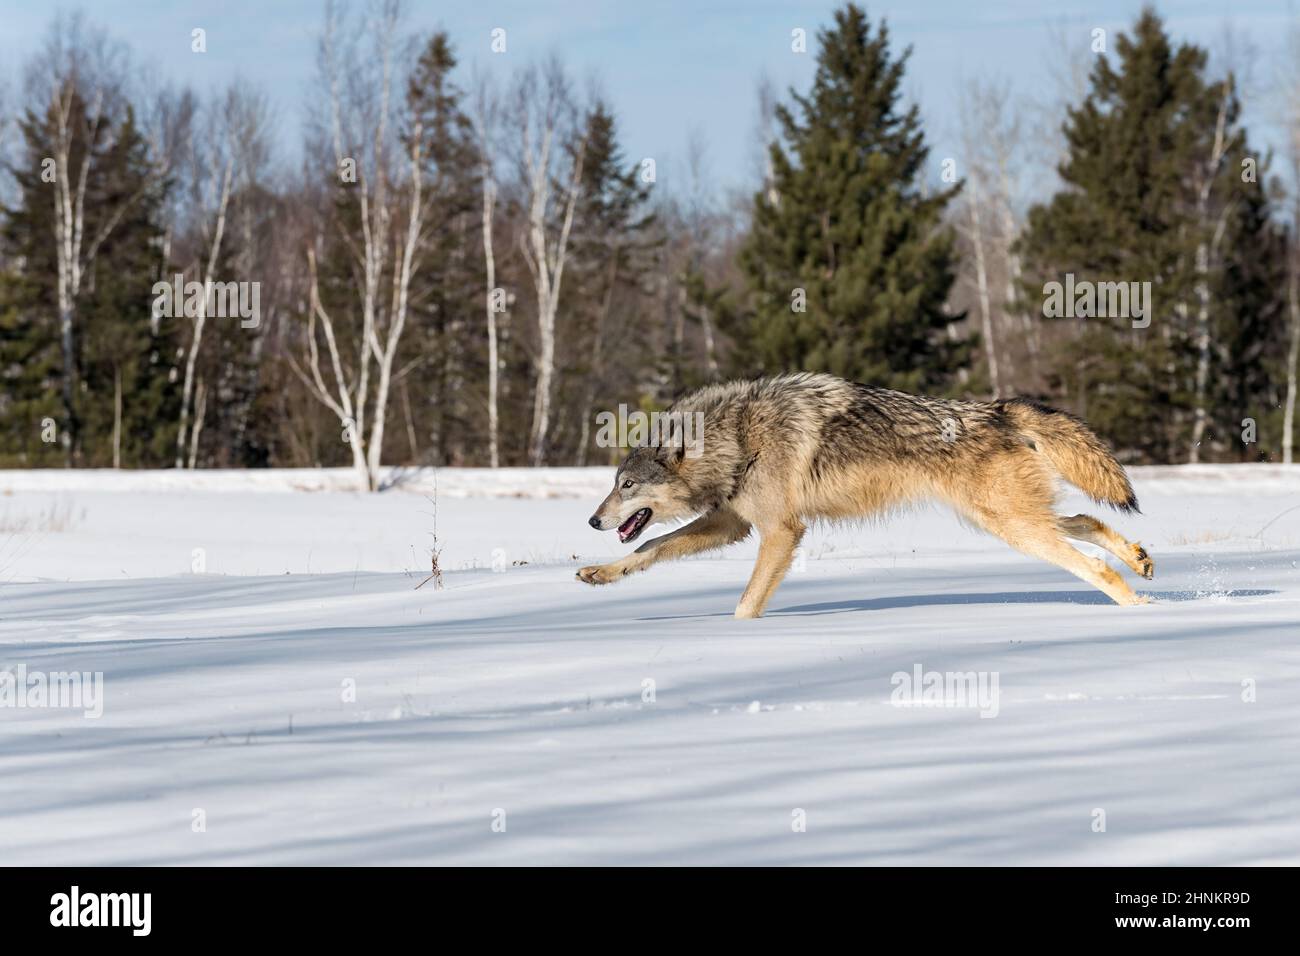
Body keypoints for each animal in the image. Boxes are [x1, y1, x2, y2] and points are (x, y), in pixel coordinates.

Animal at [579, 372, 1153, 619]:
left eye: (627, 485)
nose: (592, 522)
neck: (739, 436)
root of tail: (996, 408)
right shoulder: (734, 524)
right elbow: (649, 548)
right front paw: (600, 573)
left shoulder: (781, 531)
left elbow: (745, 604)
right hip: (1005, 521)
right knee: (1086, 520)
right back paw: (1139, 560)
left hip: (1012, 527)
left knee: (1092, 565)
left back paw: (1143, 610)